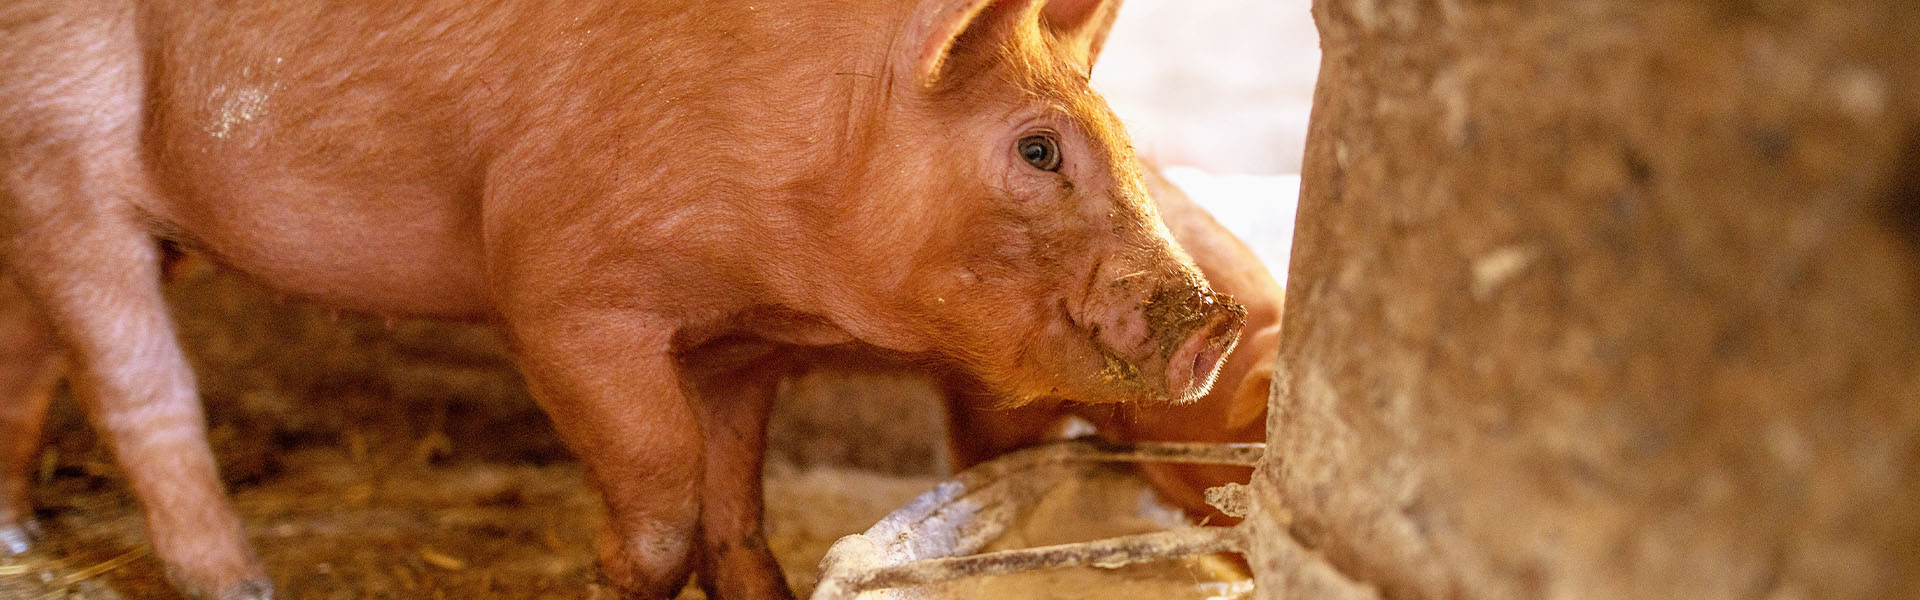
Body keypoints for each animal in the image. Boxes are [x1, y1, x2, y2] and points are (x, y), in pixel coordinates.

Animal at [0, 0, 1244, 598]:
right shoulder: (561, 291)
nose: (1218, 320)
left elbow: (734, 502)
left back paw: (19, 531)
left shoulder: (741, 345)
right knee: (135, 386)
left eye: (1118, 129)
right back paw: (238, 586)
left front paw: (768, 591)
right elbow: (660, 501)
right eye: (1038, 148)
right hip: (63, 154)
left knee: (27, 359)